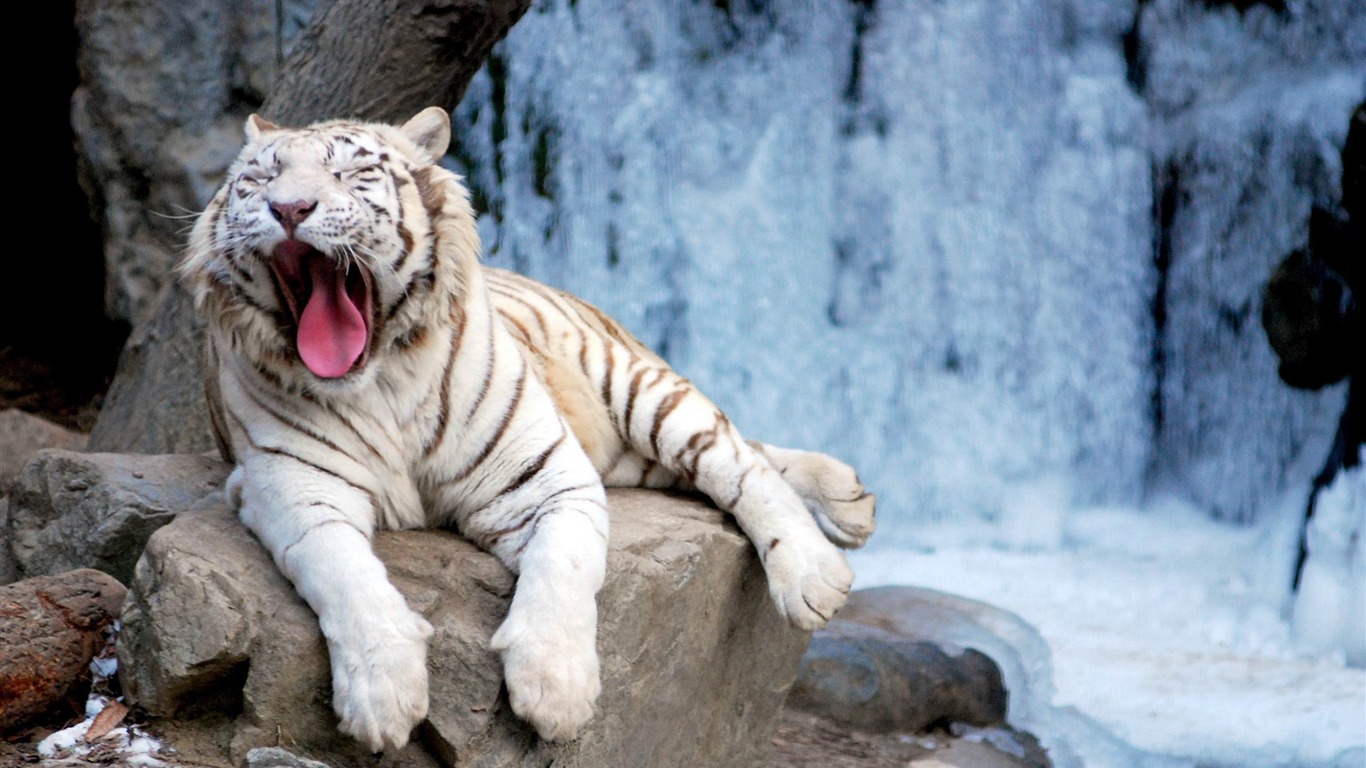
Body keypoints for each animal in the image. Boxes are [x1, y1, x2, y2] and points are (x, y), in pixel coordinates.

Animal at [177, 106, 876, 752]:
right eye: (261, 177)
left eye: (350, 172)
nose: (289, 207)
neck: (379, 381)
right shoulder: (293, 488)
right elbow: (344, 575)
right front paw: (383, 696)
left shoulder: (546, 475)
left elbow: (564, 566)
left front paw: (556, 692)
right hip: (629, 457)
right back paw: (850, 497)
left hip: (637, 388)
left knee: (737, 459)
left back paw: (817, 569)